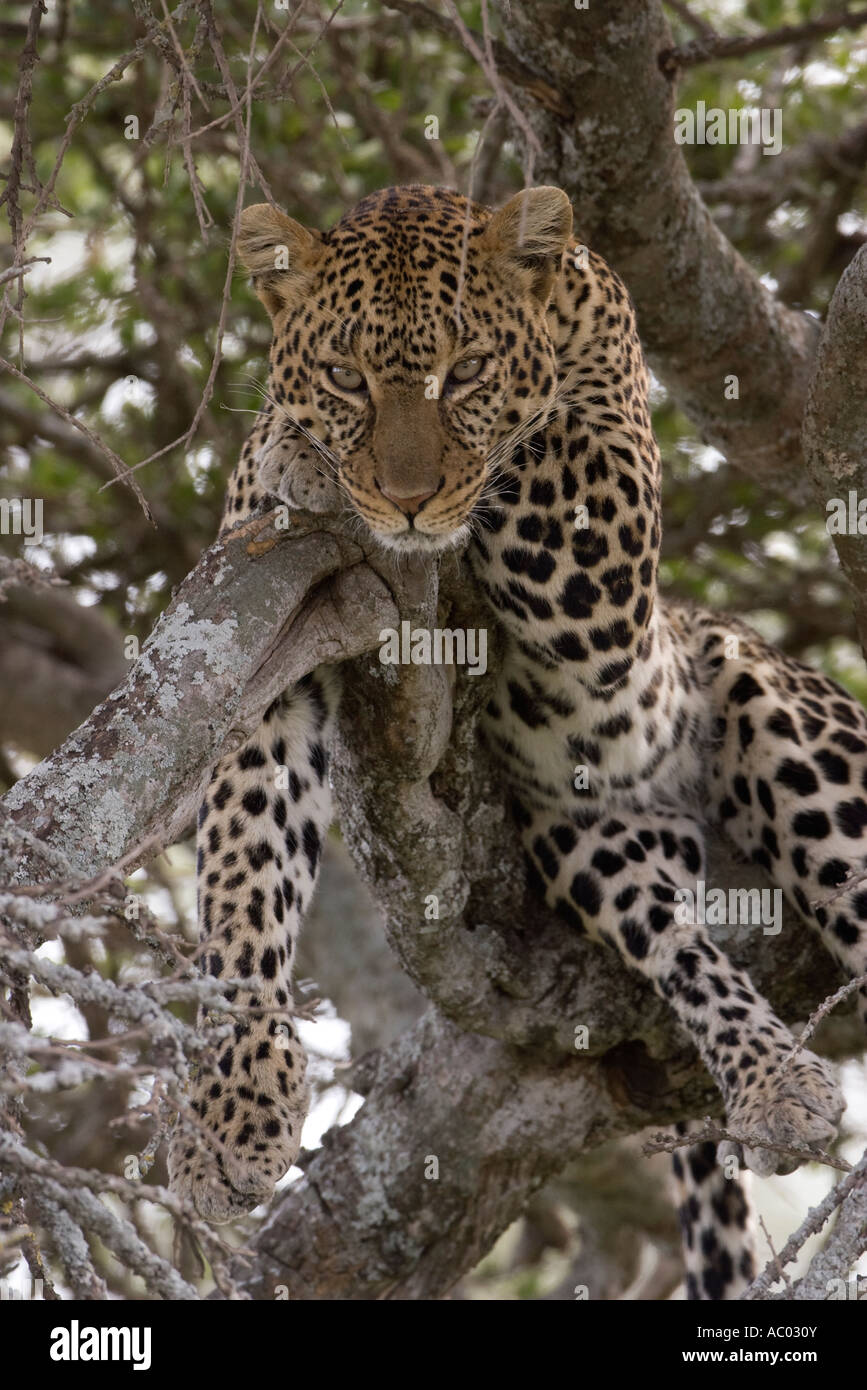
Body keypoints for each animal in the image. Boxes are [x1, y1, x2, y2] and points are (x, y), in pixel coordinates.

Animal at [167, 183, 867, 1300]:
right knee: (684, 947)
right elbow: (244, 875)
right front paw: (233, 1111)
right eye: (346, 376)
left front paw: (307, 449)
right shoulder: (272, 647)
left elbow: (532, 445)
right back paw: (773, 1084)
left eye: (465, 374)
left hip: (777, 716)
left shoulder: (604, 543)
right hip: (596, 837)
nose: (404, 501)